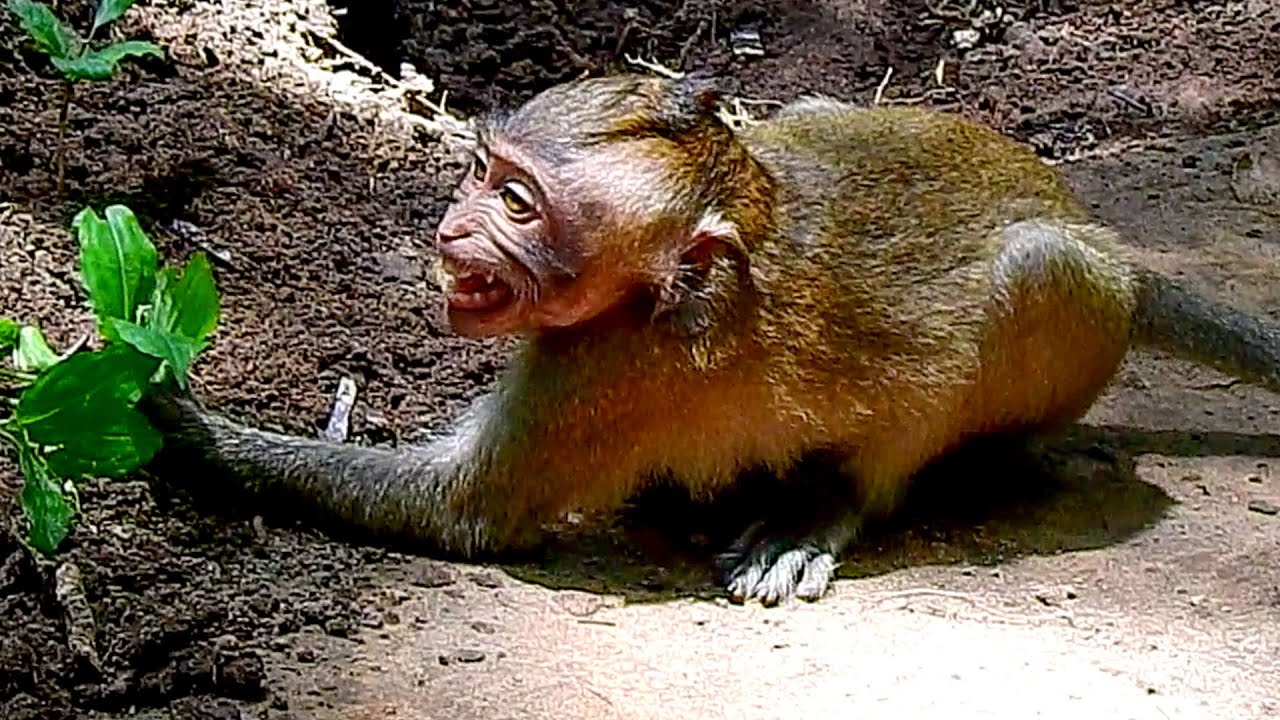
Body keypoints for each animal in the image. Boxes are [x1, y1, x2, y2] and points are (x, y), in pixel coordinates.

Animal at [144, 73, 1280, 606]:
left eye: (519, 204)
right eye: (480, 171)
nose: (451, 231)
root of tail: (1116, 249)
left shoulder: (602, 367)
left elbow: (467, 509)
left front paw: (180, 426)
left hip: (1075, 307)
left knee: (1023, 280)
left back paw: (830, 502)